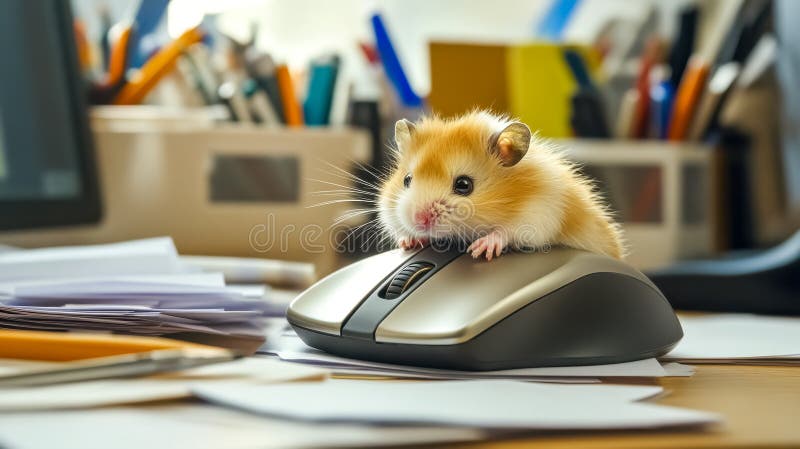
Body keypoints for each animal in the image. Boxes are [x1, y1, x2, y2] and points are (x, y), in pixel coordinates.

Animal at [378, 110, 625, 261]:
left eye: (464, 185)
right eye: (407, 180)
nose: (418, 220)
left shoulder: (541, 212)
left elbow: (507, 230)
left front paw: (481, 249)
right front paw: (408, 241)